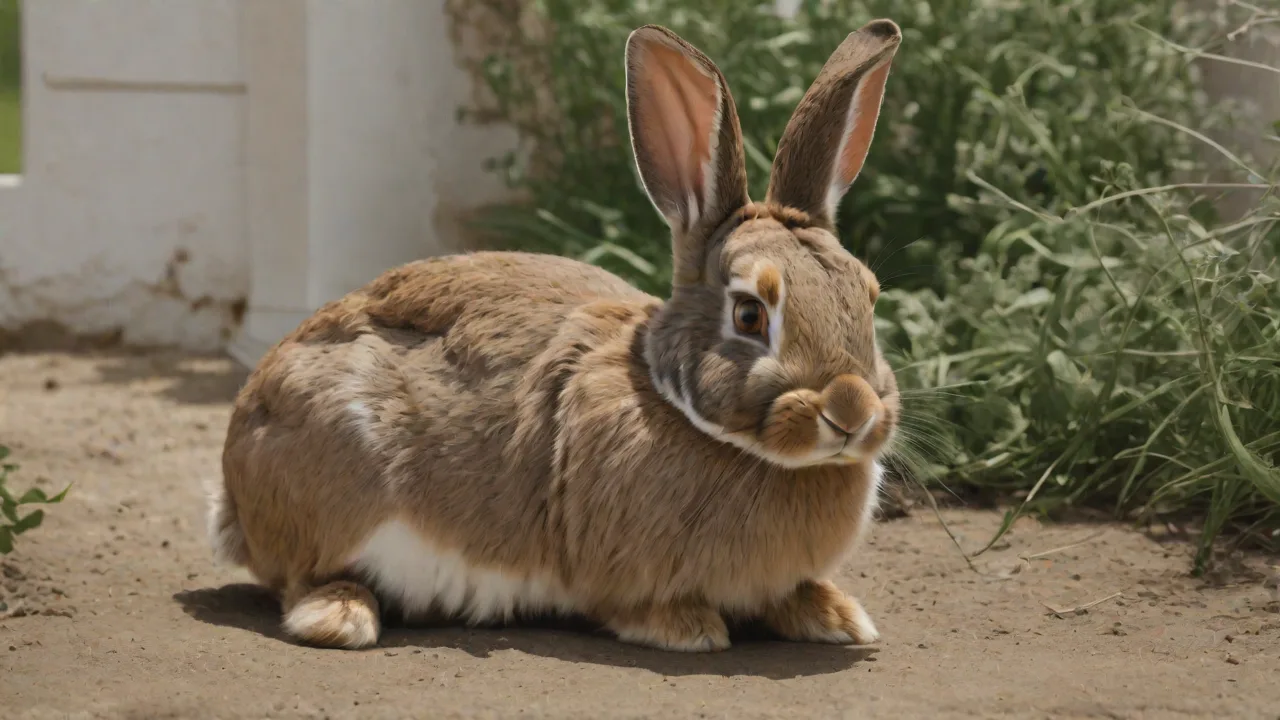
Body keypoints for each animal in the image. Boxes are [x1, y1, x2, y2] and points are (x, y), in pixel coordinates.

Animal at [208, 18, 903, 653]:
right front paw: (690, 628)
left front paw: (839, 618)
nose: (852, 410)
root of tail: (233, 492)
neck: (671, 401)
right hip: (338, 479)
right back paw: (340, 617)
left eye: (869, 294)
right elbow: (636, 605)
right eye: (750, 315)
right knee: (301, 577)